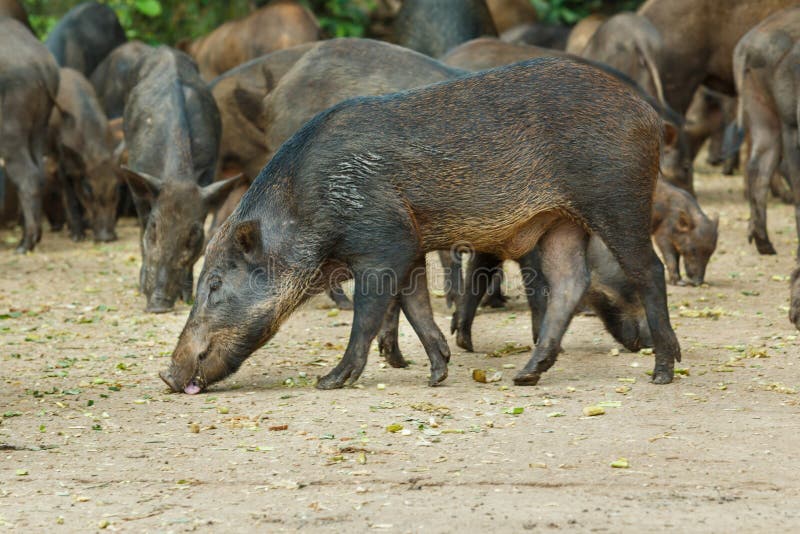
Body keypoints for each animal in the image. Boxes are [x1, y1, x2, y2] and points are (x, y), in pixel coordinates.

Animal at [0, 17, 60, 253]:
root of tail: (42, 64)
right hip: (40, 122)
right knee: (40, 172)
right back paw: (31, 237)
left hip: (12, 113)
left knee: (27, 174)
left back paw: (26, 243)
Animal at [48, 68, 119, 243]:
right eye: (88, 188)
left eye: (116, 188)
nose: (107, 238)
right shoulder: (63, 165)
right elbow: (70, 198)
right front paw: (77, 236)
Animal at [160, 56, 682, 394]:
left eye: (214, 283)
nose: (167, 375)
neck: (309, 206)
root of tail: (649, 116)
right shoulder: (409, 248)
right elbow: (415, 306)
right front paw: (437, 373)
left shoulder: (384, 240)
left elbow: (368, 313)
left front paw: (329, 382)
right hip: (560, 223)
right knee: (571, 282)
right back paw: (525, 375)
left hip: (616, 199)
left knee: (648, 270)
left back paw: (662, 371)